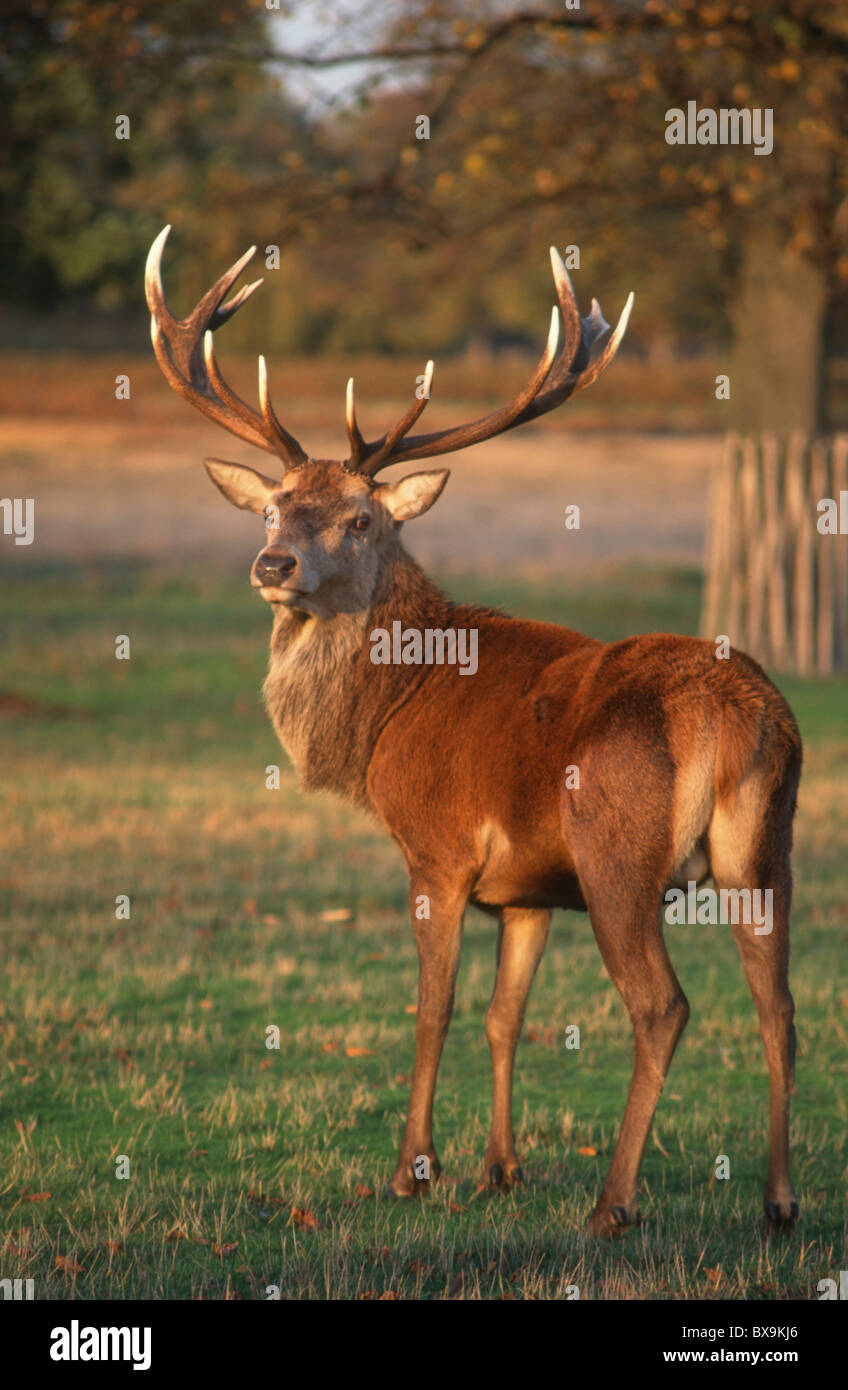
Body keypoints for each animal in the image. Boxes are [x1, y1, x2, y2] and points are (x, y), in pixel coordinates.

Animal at [145, 225, 801, 1237]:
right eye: (273, 505)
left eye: (358, 518)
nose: (272, 563)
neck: (390, 709)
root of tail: (735, 713)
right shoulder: (525, 888)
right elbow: (505, 1013)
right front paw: (501, 1169)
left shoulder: (439, 847)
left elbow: (435, 1007)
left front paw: (413, 1169)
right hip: (766, 849)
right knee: (781, 1008)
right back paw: (778, 1203)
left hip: (618, 853)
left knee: (663, 1007)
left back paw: (614, 1205)